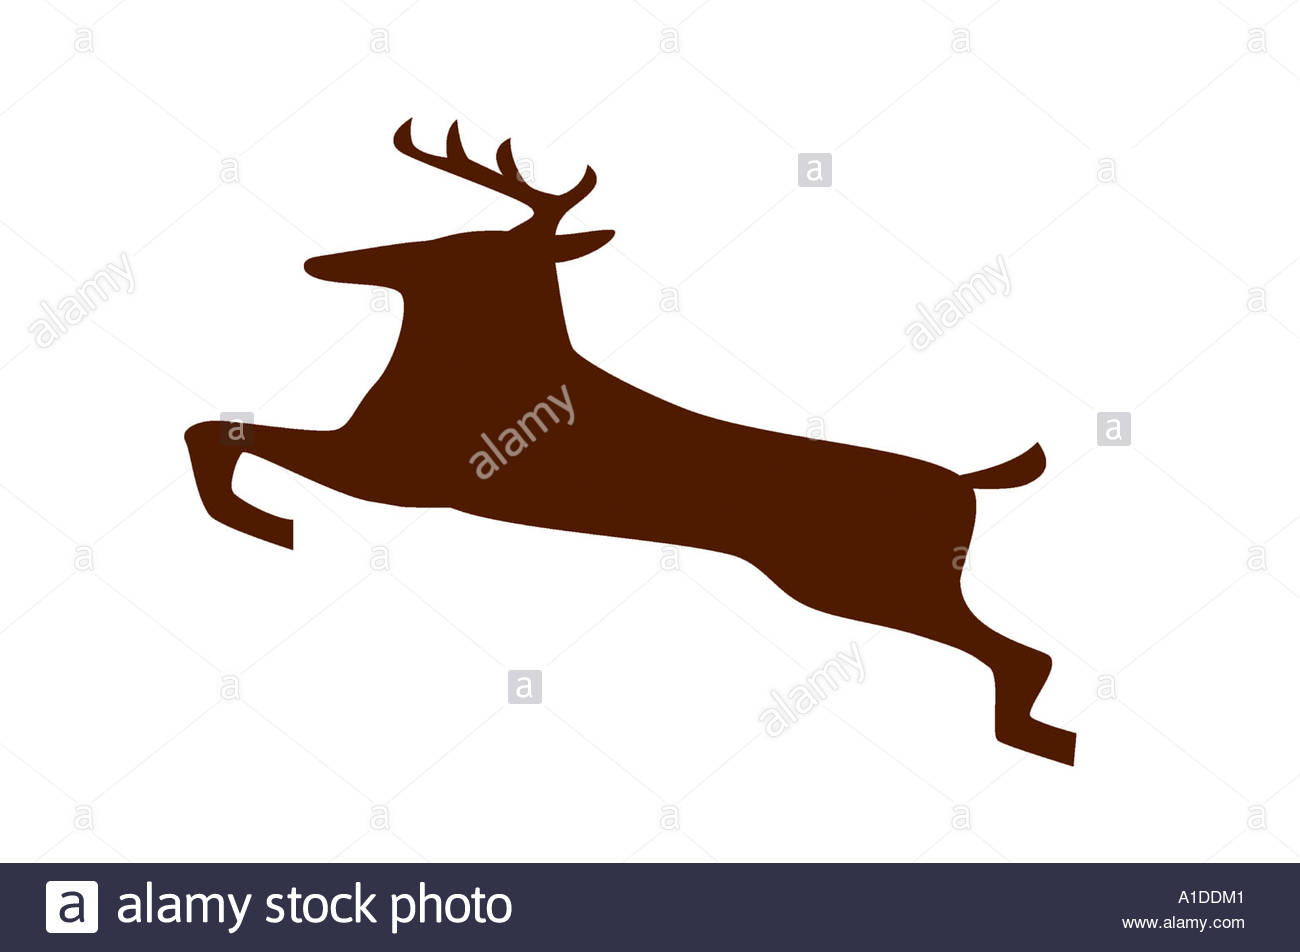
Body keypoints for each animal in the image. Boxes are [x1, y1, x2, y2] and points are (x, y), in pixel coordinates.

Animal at [185, 120, 1077, 766]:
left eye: (456, 245)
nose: (328, 261)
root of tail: (971, 481)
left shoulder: (399, 474)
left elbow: (218, 433)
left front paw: (264, 523)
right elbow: (216, 428)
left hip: (867, 581)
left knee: (1018, 655)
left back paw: (1043, 743)